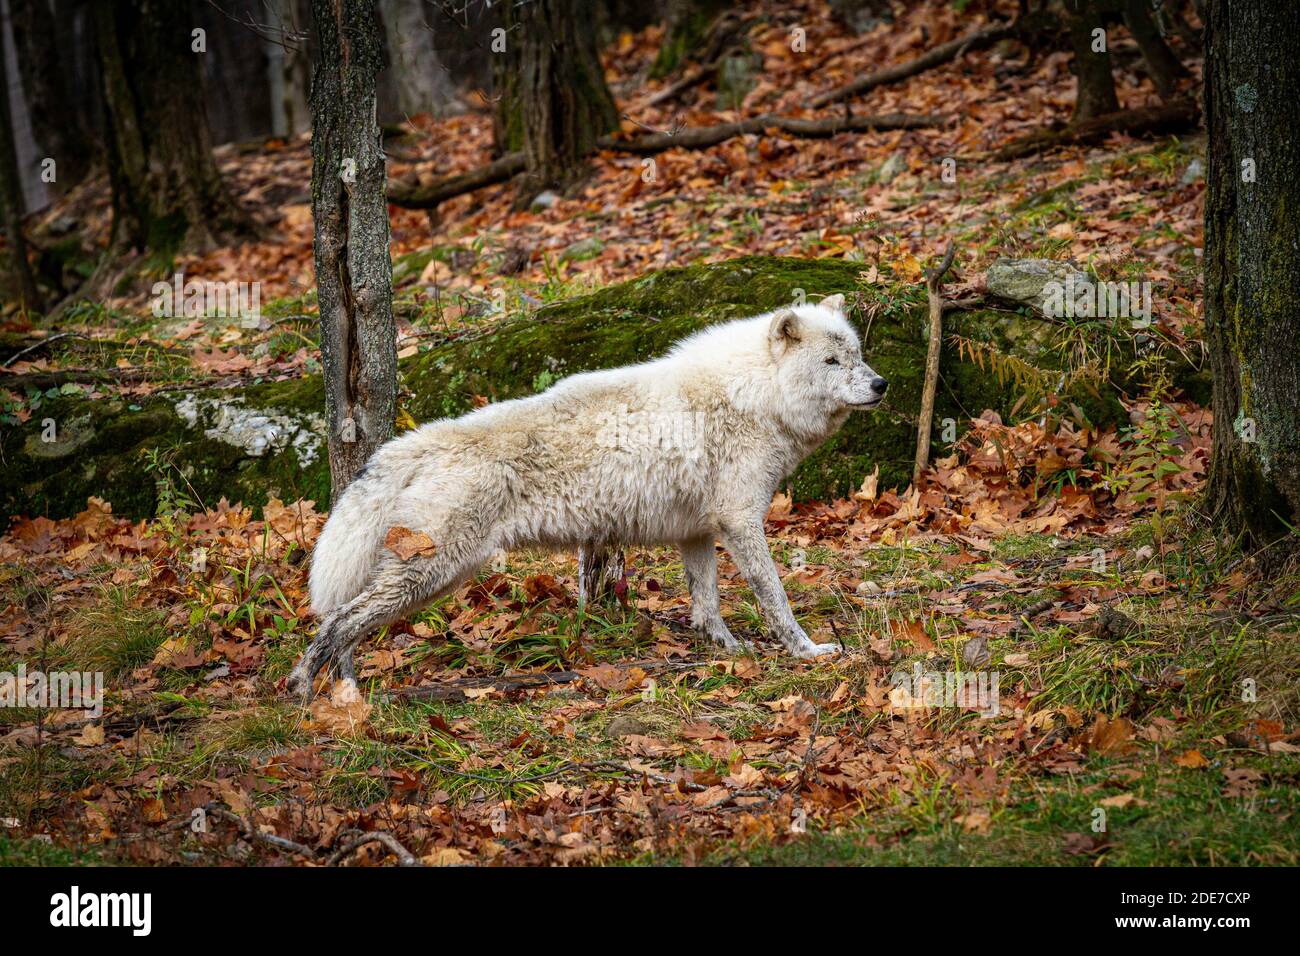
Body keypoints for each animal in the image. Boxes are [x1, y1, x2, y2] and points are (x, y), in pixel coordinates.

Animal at [288, 293, 888, 700]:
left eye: (858, 354)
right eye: (831, 363)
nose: (881, 384)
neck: (754, 396)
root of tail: (417, 443)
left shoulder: (697, 533)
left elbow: (707, 604)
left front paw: (725, 649)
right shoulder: (741, 523)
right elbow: (776, 599)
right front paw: (807, 651)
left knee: (345, 624)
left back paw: (347, 693)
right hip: (432, 575)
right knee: (337, 622)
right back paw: (308, 690)